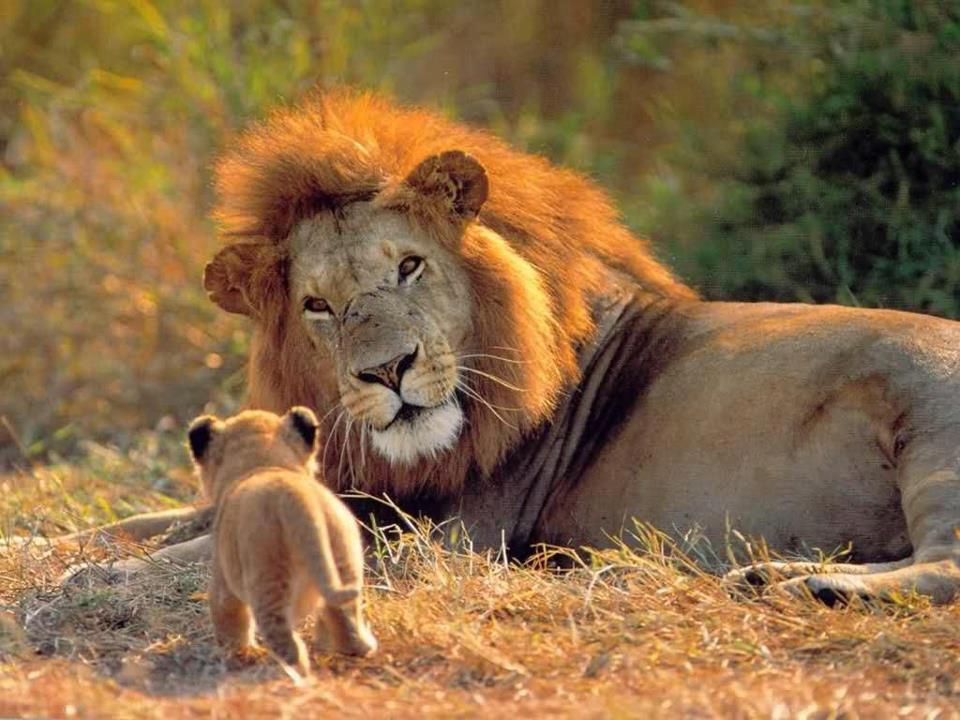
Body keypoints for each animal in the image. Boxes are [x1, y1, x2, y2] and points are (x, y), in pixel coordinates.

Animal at [62, 89, 960, 606]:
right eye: (318, 306)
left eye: (409, 266)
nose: (387, 370)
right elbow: (153, 519)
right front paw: (59, 547)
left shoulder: (443, 536)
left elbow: (211, 541)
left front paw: (102, 578)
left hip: (932, 428)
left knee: (945, 566)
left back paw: (806, 585)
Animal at [188, 407, 377, 674]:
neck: (264, 464)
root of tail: (298, 501)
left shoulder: (223, 574)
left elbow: (226, 611)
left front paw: (235, 653)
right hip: (343, 560)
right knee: (344, 616)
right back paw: (359, 647)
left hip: (266, 577)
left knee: (284, 639)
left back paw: (288, 671)